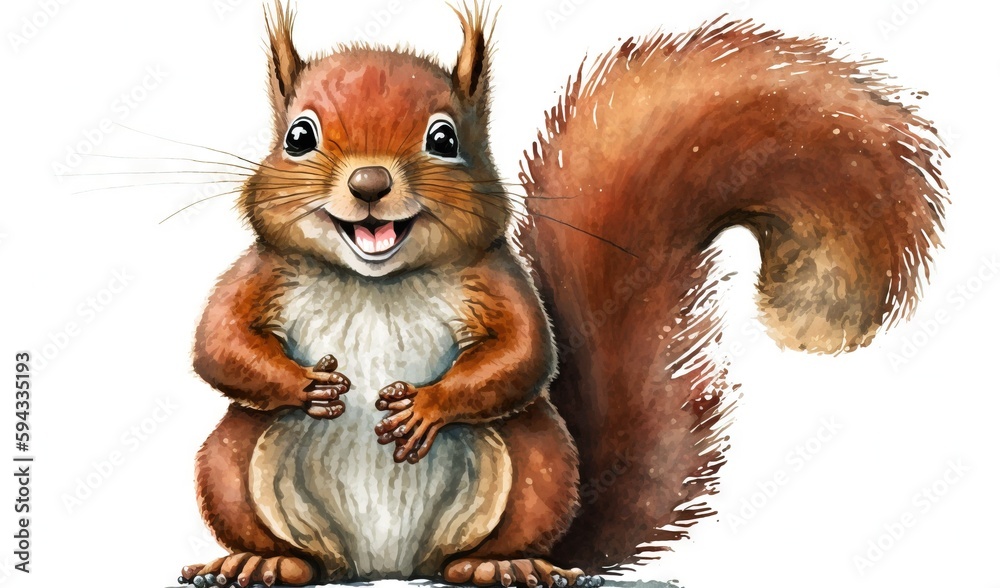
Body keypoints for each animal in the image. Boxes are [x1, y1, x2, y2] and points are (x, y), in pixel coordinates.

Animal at [180, 2, 947, 587]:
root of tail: (386, 566)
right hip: (230, 465)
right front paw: (306, 385)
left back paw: (503, 567)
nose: (370, 184)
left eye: (443, 138)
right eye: (298, 137)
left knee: (478, 552)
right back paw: (262, 562)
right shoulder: (260, 273)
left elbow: (525, 353)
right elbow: (216, 345)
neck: (377, 281)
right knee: (301, 551)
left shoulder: (495, 281)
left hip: (537, 464)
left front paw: (426, 406)